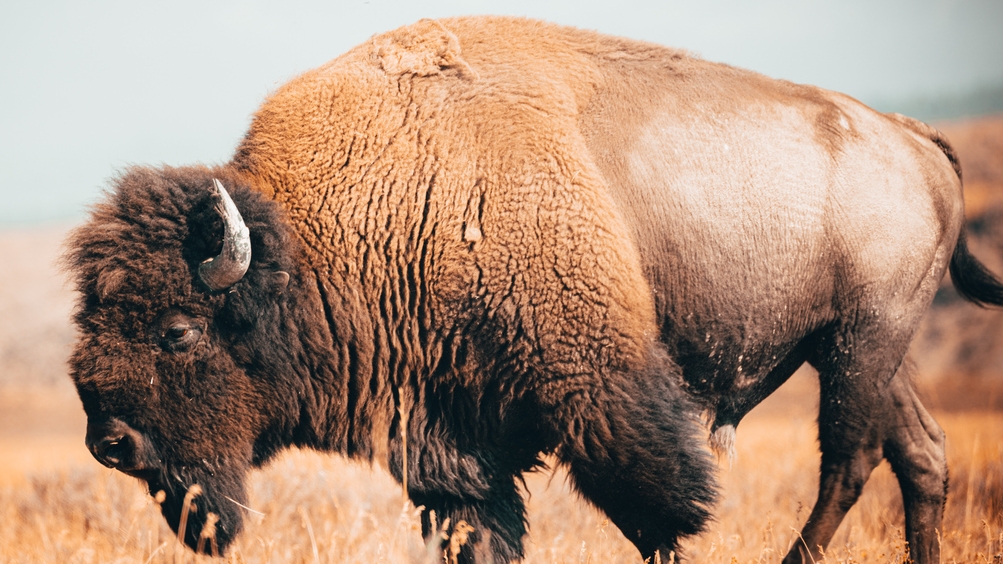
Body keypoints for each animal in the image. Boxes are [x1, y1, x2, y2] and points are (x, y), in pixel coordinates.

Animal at [66, 16, 1003, 564]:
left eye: (178, 331)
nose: (109, 442)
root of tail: (910, 135)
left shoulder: (601, 394)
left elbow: (661, 515)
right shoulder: (449, 446)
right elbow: (480, 532)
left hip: (858, 343)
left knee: (848, 458)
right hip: (868, 350)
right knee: (918, 454)